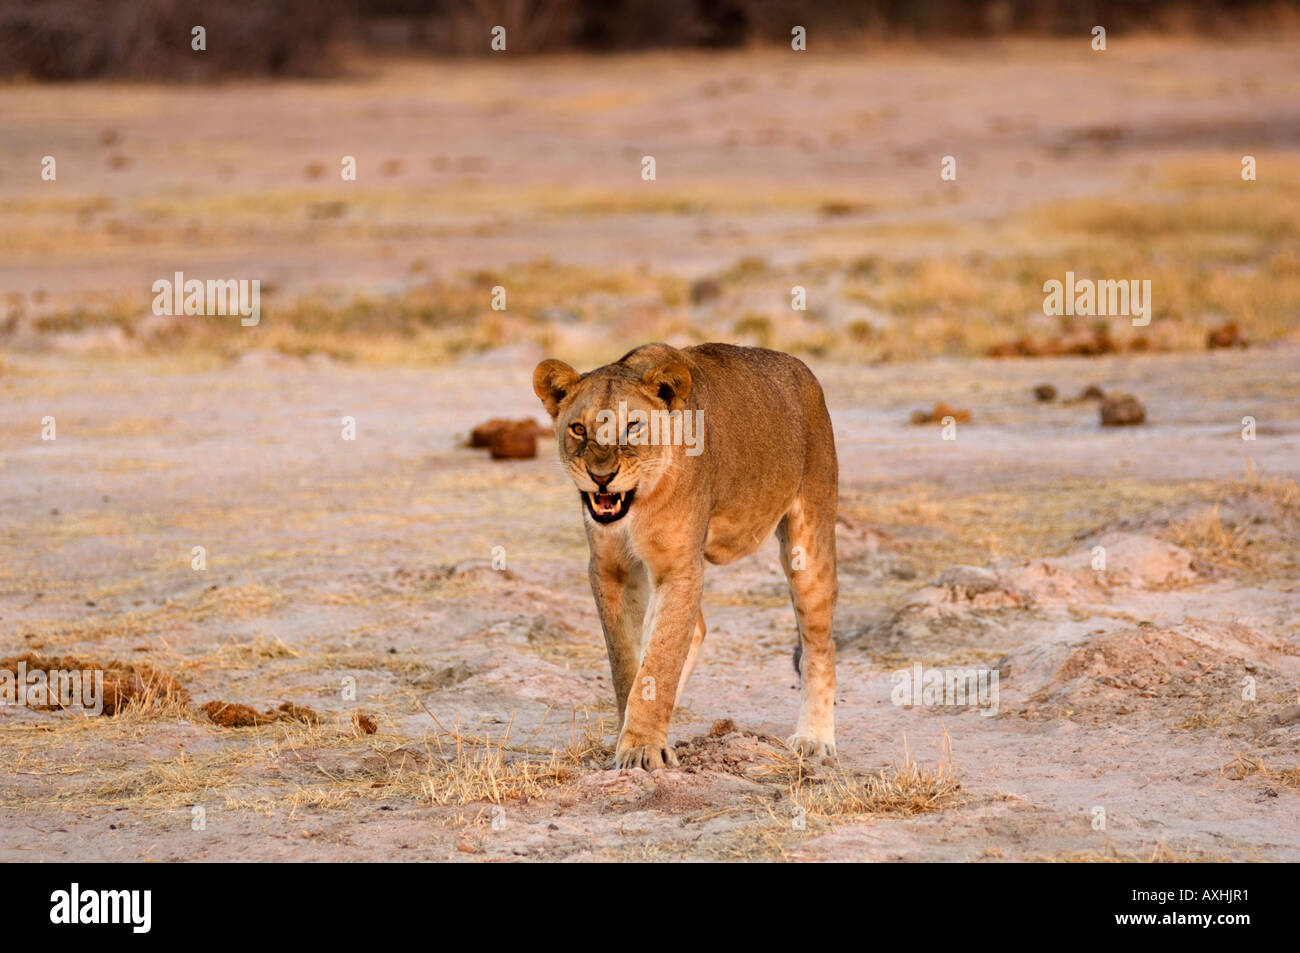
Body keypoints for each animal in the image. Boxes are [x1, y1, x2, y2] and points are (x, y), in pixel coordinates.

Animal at [533, 342, 838, 770]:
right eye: (579, 428)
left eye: (633, 427)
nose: (601, 477)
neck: (638, 505)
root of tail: (801, 367)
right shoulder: (610, 569)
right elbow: (629, 661)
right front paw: (634, 733)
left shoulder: (679, 567)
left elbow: (660, 657)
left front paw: (643, 747)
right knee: (692, 630)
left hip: (809, 540)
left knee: (819, 645)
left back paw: (814, 738)